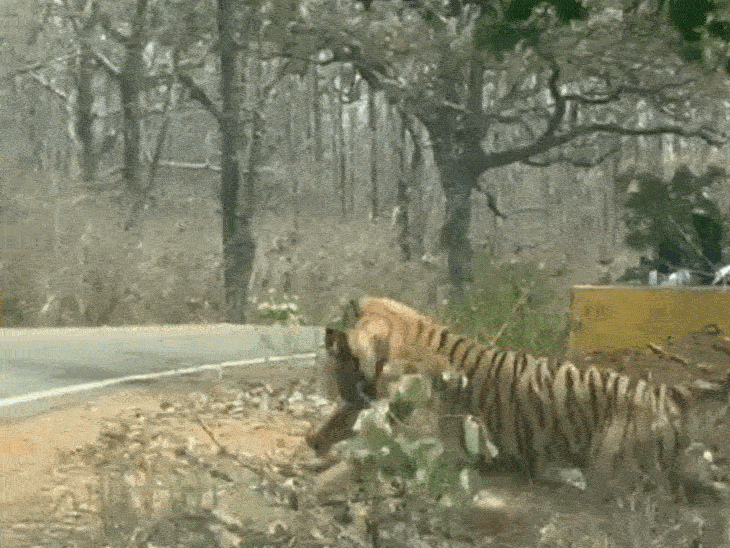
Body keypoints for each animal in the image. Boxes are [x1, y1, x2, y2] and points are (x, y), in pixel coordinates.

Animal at [308, 296, 700, 492]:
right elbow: (342, 427)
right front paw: (316, 444)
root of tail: (668, 396)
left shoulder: (416, 443)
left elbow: (357, 457)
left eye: (341, 358)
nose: (328, 336)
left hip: (614, 470)